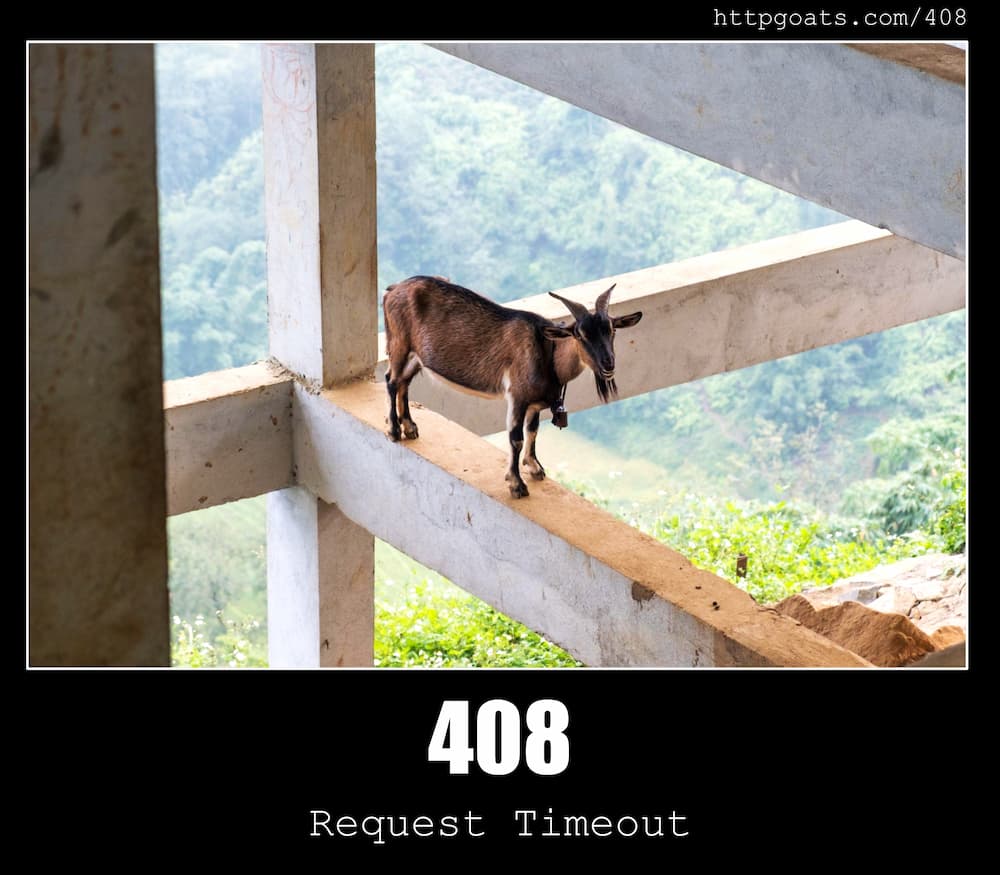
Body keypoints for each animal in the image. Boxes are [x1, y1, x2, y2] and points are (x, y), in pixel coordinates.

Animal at [382, 276, 642, 498]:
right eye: (579, 334)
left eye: (612, 329)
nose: (608, 364)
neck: (548, 352)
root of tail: (393, 290)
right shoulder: (517, 396)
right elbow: (515, 438)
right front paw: (517, 484)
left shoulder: (535, 403)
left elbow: (533, 430)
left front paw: (535, 467)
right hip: (399, 342)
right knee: (392, 381)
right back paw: (395, 430)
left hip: (417, 355)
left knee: (404, 381)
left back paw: (410, 427)